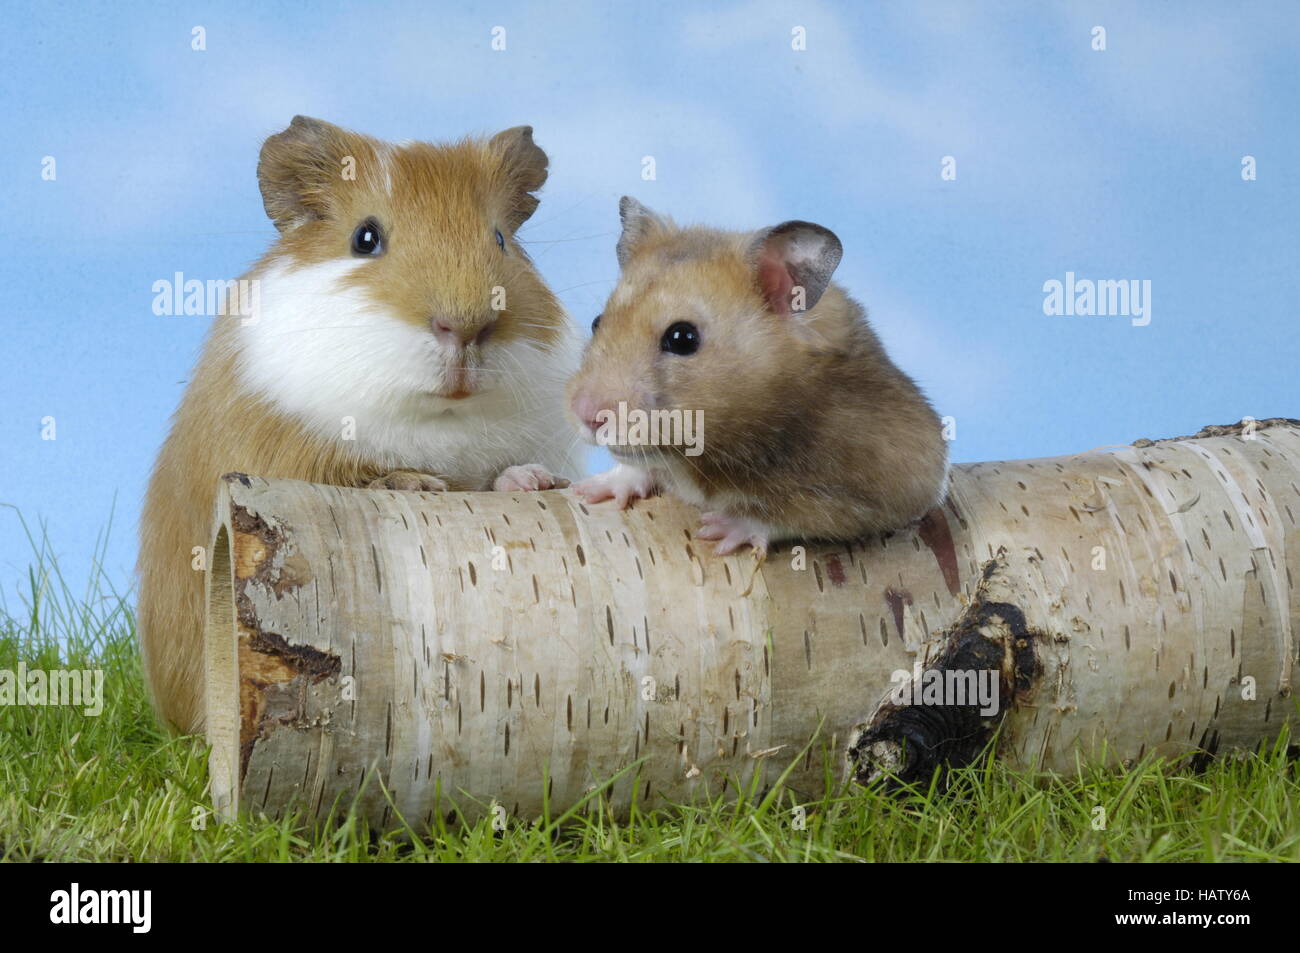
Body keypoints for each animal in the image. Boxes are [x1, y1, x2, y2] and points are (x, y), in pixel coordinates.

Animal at [138, 116, 581, 733]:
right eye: (365, 238)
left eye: (500, 240)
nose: (467, 327)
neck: (440, 416)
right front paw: (418, 484)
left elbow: (500, 474)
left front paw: (534, 480)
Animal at [569, 196, 948, 556]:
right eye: (597, 322)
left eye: (682, 338)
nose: (587, 417)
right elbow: (637, 465)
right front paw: (589, 489)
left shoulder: (892, 486)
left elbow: (791, 514)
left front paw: (718, 531)